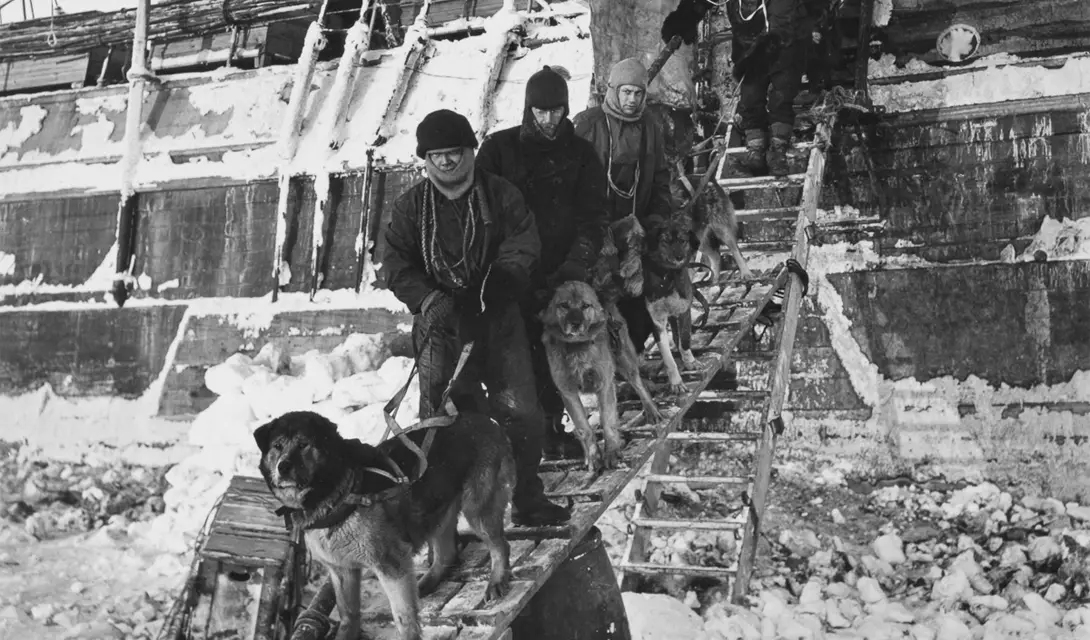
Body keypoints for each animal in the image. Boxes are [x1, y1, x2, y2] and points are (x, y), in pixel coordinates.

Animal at [255, 409, 514, 640]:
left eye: (303, 445)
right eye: (277, 446)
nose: (283, 467)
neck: (337, 492)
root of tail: (487, 421)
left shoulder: (390, 564)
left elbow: (403, 616)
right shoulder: (342, 570)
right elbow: (349, 614)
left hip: (477, 508)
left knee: (500, 545)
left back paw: (496, 581)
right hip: (437, 509)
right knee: (447, 552)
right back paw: (427, 582)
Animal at [538, 283, 658, 473]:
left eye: (585, 306)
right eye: (564, 305)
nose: (575, 323)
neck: (577, 348)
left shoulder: (604, 384)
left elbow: (607, 420)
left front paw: (612, 452)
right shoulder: (568, 392)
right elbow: (583, 428)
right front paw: (593, 456)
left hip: (624, 358)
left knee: (637, 382)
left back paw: (651, 409)